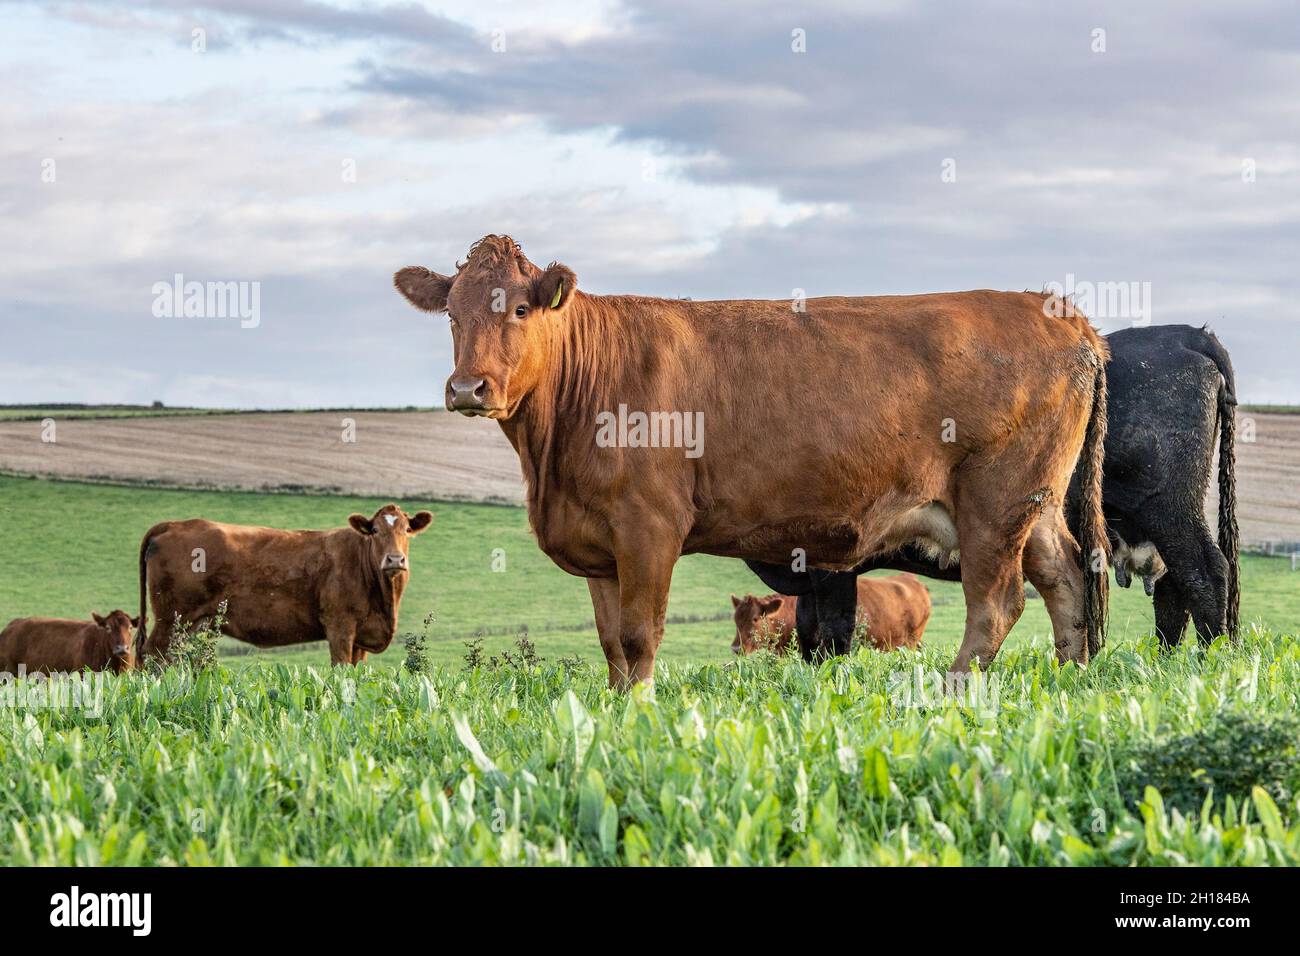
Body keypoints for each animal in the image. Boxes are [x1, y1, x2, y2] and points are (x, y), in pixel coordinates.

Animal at [136, 505, 433, 665]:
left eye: (407, 530)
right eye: (375, 531)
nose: (395, 559)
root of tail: (174, 524)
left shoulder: (361, 635)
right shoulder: (339, 625)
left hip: (193, 623)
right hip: (170, 619)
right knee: (152, 658)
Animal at [755, 324, 1238, 653]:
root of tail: (1185, 334)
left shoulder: (831, 564)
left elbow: (833, 631)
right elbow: (810, 632)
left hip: (1169, 509)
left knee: (1206, 572)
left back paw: (1210, 658)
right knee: (1176, 591)